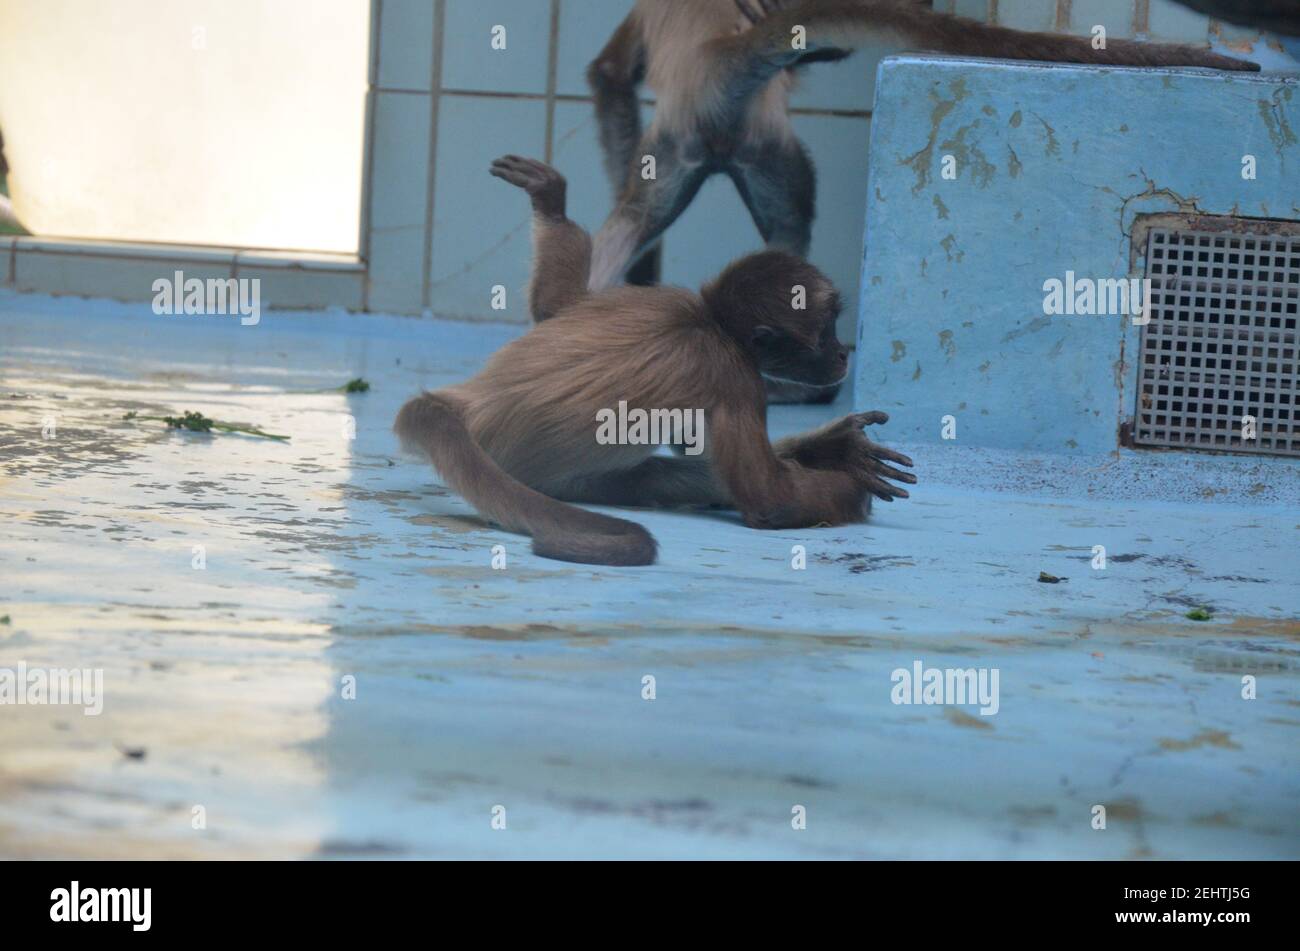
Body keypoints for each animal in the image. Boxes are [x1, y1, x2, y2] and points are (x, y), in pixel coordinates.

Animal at [394, 155, 916, 567]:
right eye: (825, 332)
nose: (842, 354)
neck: (710, 321)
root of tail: (463, 406)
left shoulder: (652, 296)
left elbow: (556, 309)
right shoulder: (737, 377)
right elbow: (769, 500)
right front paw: (843, 481)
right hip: (562, 480)